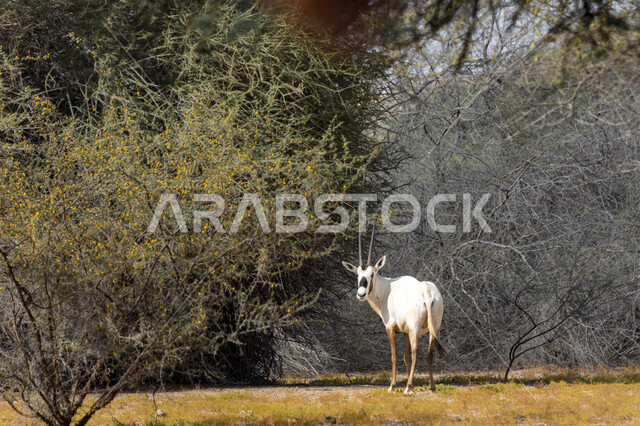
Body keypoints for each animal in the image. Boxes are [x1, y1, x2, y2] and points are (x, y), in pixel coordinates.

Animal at [342, 226, 444, 394]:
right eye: (357, 274)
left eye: (372, 274)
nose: (361, 294)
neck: (386, 289)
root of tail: (427, 291)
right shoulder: (404, 331)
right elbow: (405, 357)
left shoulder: (390, 328)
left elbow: (394, 356)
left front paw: (393, 385)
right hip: (434, 328)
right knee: (429, 353)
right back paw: (431, 386)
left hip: (415, 329)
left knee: (416, 351)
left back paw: (408, 388)